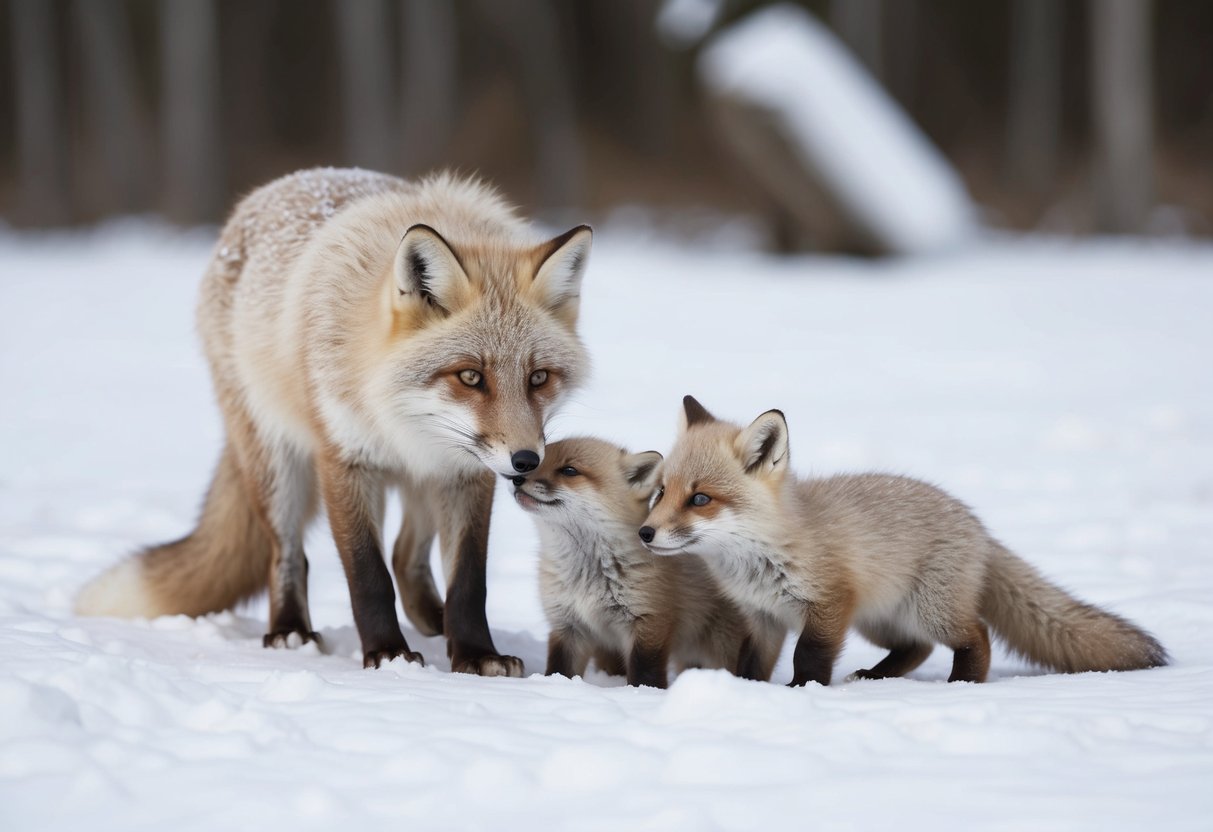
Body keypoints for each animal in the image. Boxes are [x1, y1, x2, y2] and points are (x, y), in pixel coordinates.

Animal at [75, 167, 594, 675]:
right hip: (276, 466)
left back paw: (434, 622)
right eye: (470, 376)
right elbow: (368, 575)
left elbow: (468, 580)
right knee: (289, 555)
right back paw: (290, 631)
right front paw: (387, 655)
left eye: (538, 378)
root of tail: (269, 191)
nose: (526, 461)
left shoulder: (463, 472)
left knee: (406, 557)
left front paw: (475, 654)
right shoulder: (344, 460)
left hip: (422, 479)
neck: (394, 414)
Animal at [512, 436, 784, 688]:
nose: (516, 478)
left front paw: (642, 695)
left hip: (723, 646)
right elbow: (559, 670)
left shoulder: (650, 622)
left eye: (569, 470)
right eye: (536, 461)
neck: (586, 576)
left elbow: (645, 673)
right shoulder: (567, 625)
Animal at [639, 396, 1168, 686]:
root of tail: (977, 523)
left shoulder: (830, 604)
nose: (645, 532)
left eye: (700, 498)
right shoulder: (762, 617)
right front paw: (746, 692)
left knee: (975, 634)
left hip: (927, 610)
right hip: (881, 620)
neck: (761, 557)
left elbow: (809, 656)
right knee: (917, 649)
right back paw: (877, 676)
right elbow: (750, 662)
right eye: (661, 492)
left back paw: (962, 683)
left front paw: (801, 692)